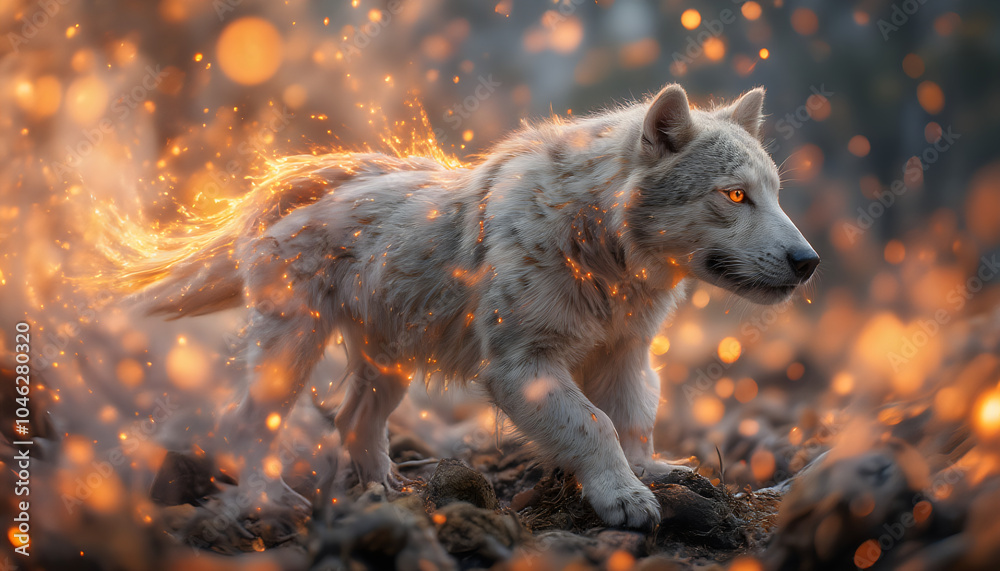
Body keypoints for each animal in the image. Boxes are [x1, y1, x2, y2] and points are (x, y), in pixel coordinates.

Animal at [122, 84, 818, 529]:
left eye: (776, 194)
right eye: (735, 195)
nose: (808, 261)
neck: (605, 253)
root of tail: (304, 180)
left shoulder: (626, 354)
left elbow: (632, 421)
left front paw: (653, 474)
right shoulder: (520, 366)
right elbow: (593, 424)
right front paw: (624, 499)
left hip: (389, 366)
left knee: (352, 421)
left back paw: (386, 490)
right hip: (292, 350)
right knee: (247, 422)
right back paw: (270, 502)